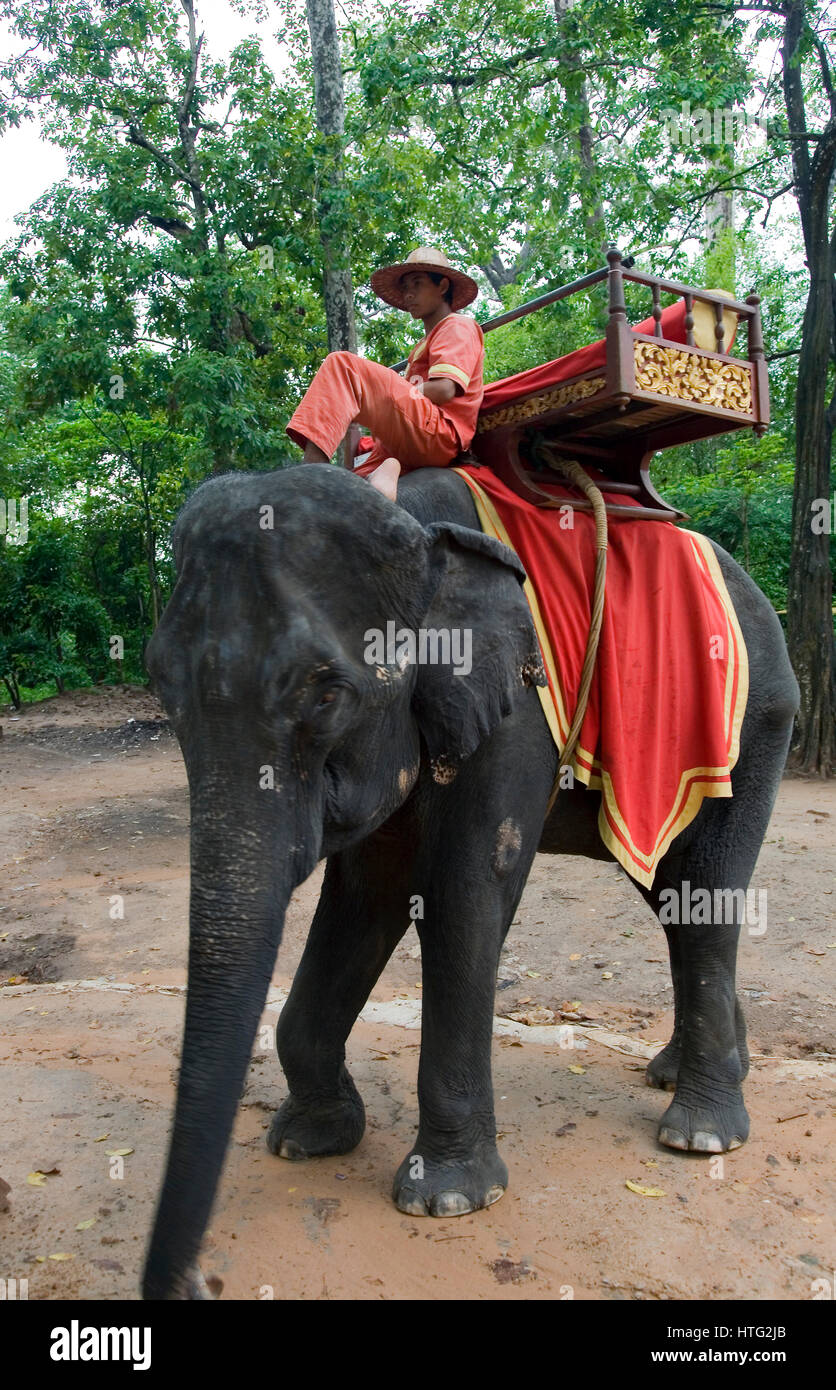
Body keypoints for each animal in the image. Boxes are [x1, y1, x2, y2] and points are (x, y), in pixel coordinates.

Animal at [141, 461, 799, 1299]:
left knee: (703, 893)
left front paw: (447, 1197)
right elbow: (366, 896)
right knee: (669, 893)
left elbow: (461, 894)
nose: (202, 1281)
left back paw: (701, 1135)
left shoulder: (516, 706)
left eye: (327, 693)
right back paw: (685, 1073)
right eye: (162, 687)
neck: (416, 529)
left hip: (756, 721)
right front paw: (309, 1141)